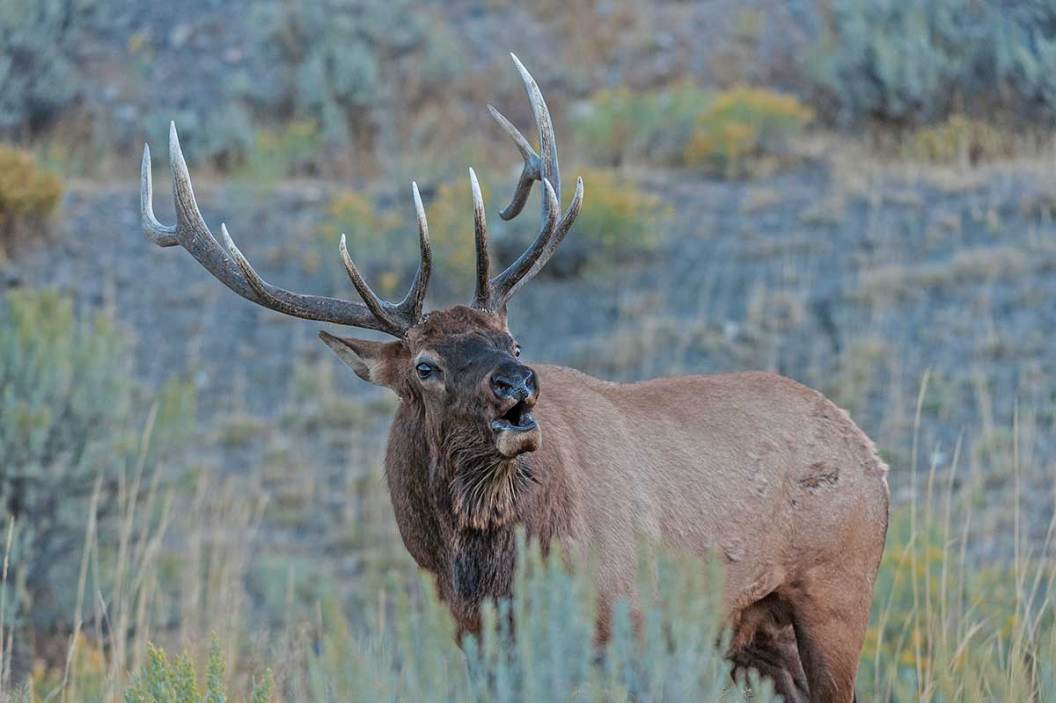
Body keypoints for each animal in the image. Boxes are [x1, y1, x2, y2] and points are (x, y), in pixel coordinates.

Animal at [139, 54, 889, 703]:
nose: (518, 386)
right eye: (425, 366)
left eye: (513, 339)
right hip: (755, 630)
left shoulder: (627, 623)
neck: (487, 572)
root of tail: (871, 454)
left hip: (836, 590)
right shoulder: (478, 642)